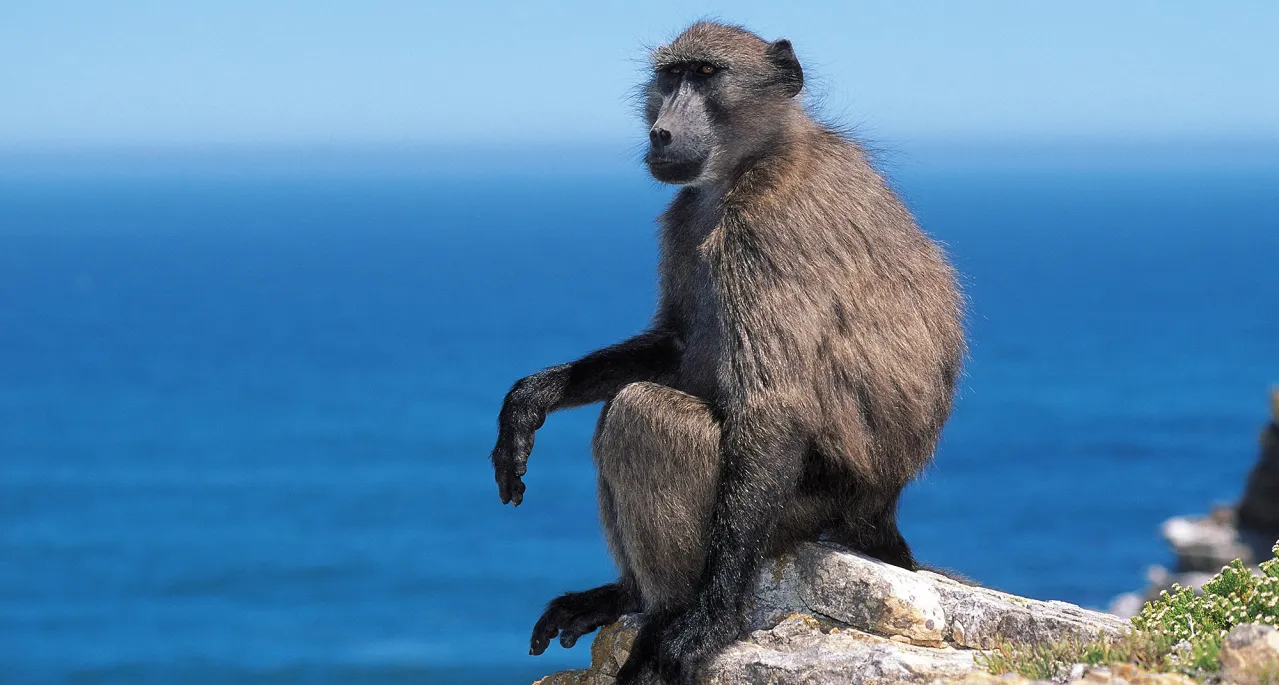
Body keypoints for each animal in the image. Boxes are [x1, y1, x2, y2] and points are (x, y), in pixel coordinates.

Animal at [488, 22, 965, 685]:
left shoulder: (765, 234)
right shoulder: (686, 218)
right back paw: (625, 596)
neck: (749, 163)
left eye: (708, 75)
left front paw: (707, 620)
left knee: (643, 414)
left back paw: (665, 613)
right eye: (671, 76)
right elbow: (676, 343)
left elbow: (772, 406)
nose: (661, 131)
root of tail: (881, 505)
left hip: (801, 508)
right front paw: (531, 400)